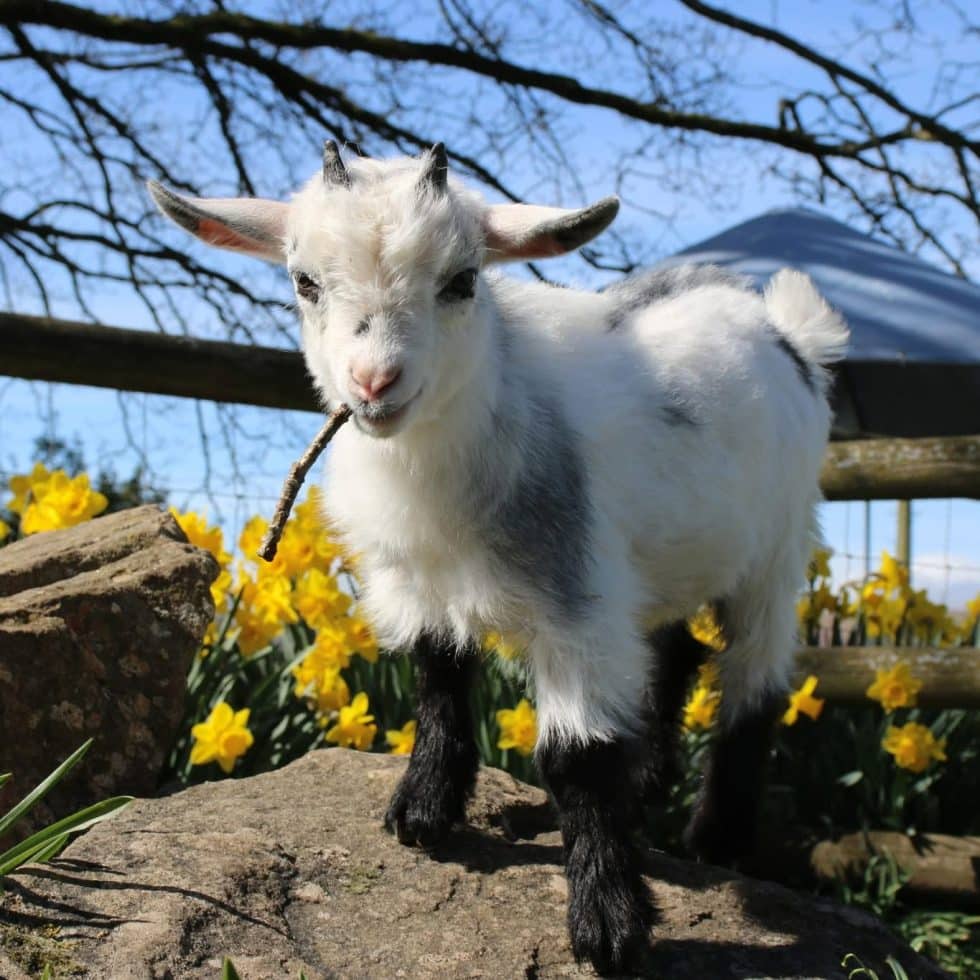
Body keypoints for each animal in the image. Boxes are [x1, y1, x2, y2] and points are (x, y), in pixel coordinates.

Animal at [149, 142, 848, 974]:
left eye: (462, 281)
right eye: (304, 281)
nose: (374, 381)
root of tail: (787, 331)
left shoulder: (576, 598)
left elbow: (577, 756)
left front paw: (607, 924)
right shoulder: (416, 584)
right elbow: (440, 680)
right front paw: (423, 813)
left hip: (777, 550)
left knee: (754, 684)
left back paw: (717, 839)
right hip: (661, 563)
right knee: (675, 651)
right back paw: (646, 790)